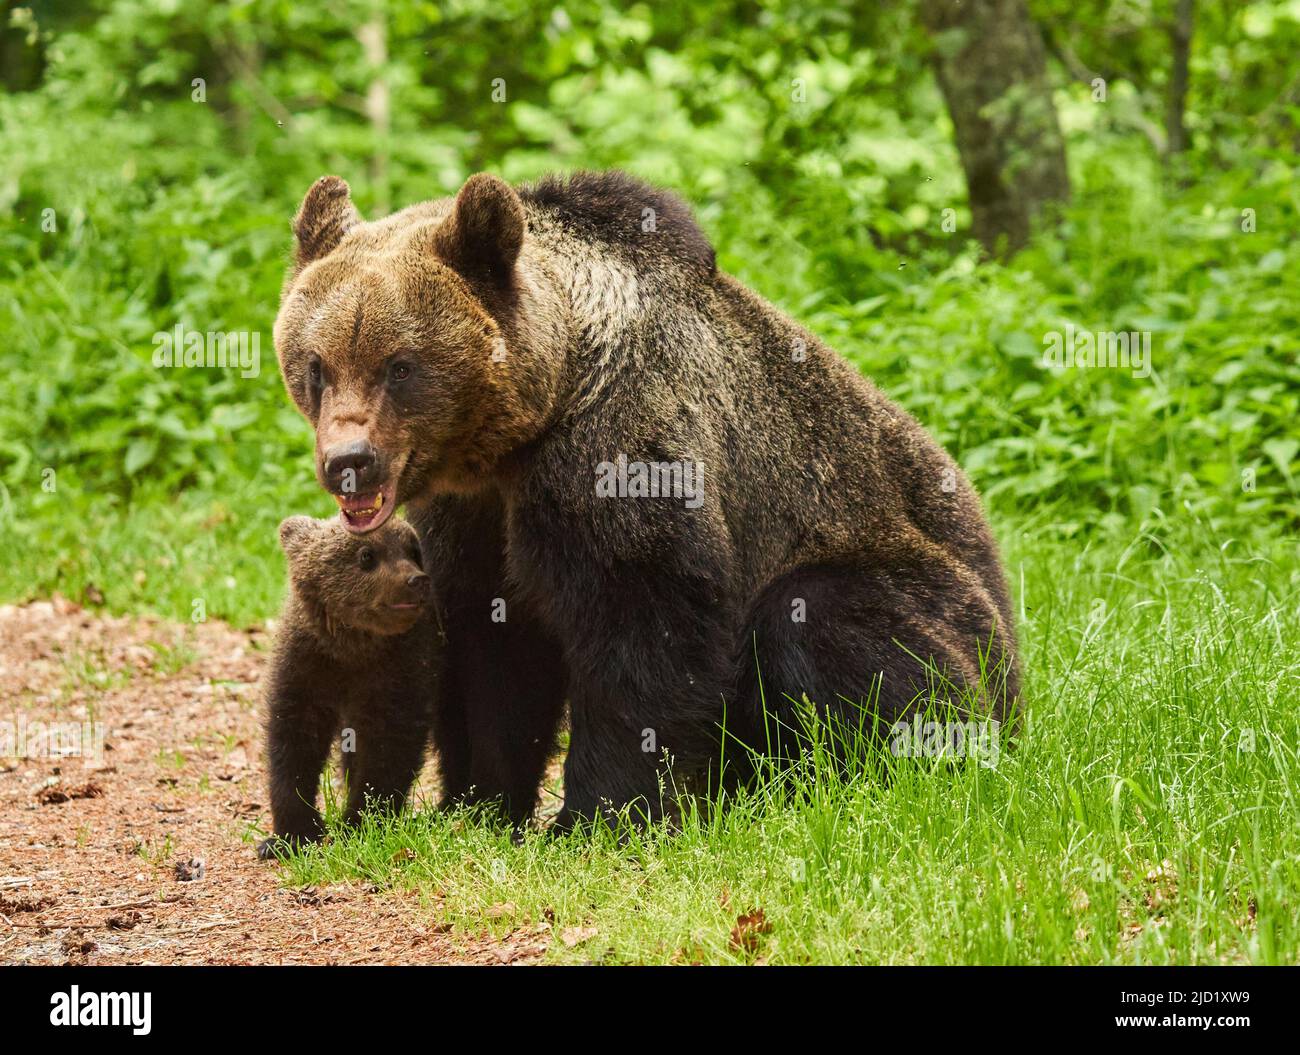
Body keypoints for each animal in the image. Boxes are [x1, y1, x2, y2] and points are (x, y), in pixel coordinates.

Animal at [259, 514, 438, 859]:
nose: (416, 580)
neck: (351, 647)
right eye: (367, 555)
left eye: (413, 551)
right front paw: (292, 835)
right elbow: (293, 743)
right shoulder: (306, 667)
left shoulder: (398, 674)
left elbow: (387, 749)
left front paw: (360, 823)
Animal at [272, 169, 1020, 831]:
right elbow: (494, 650)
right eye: (316, 365)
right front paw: (481, 805)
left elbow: (643, 629)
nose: (350, 463)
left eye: (400, 365)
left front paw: (596, 815)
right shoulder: (473, 518)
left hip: (938, 601)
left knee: (826, 619)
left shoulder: (618, 456)